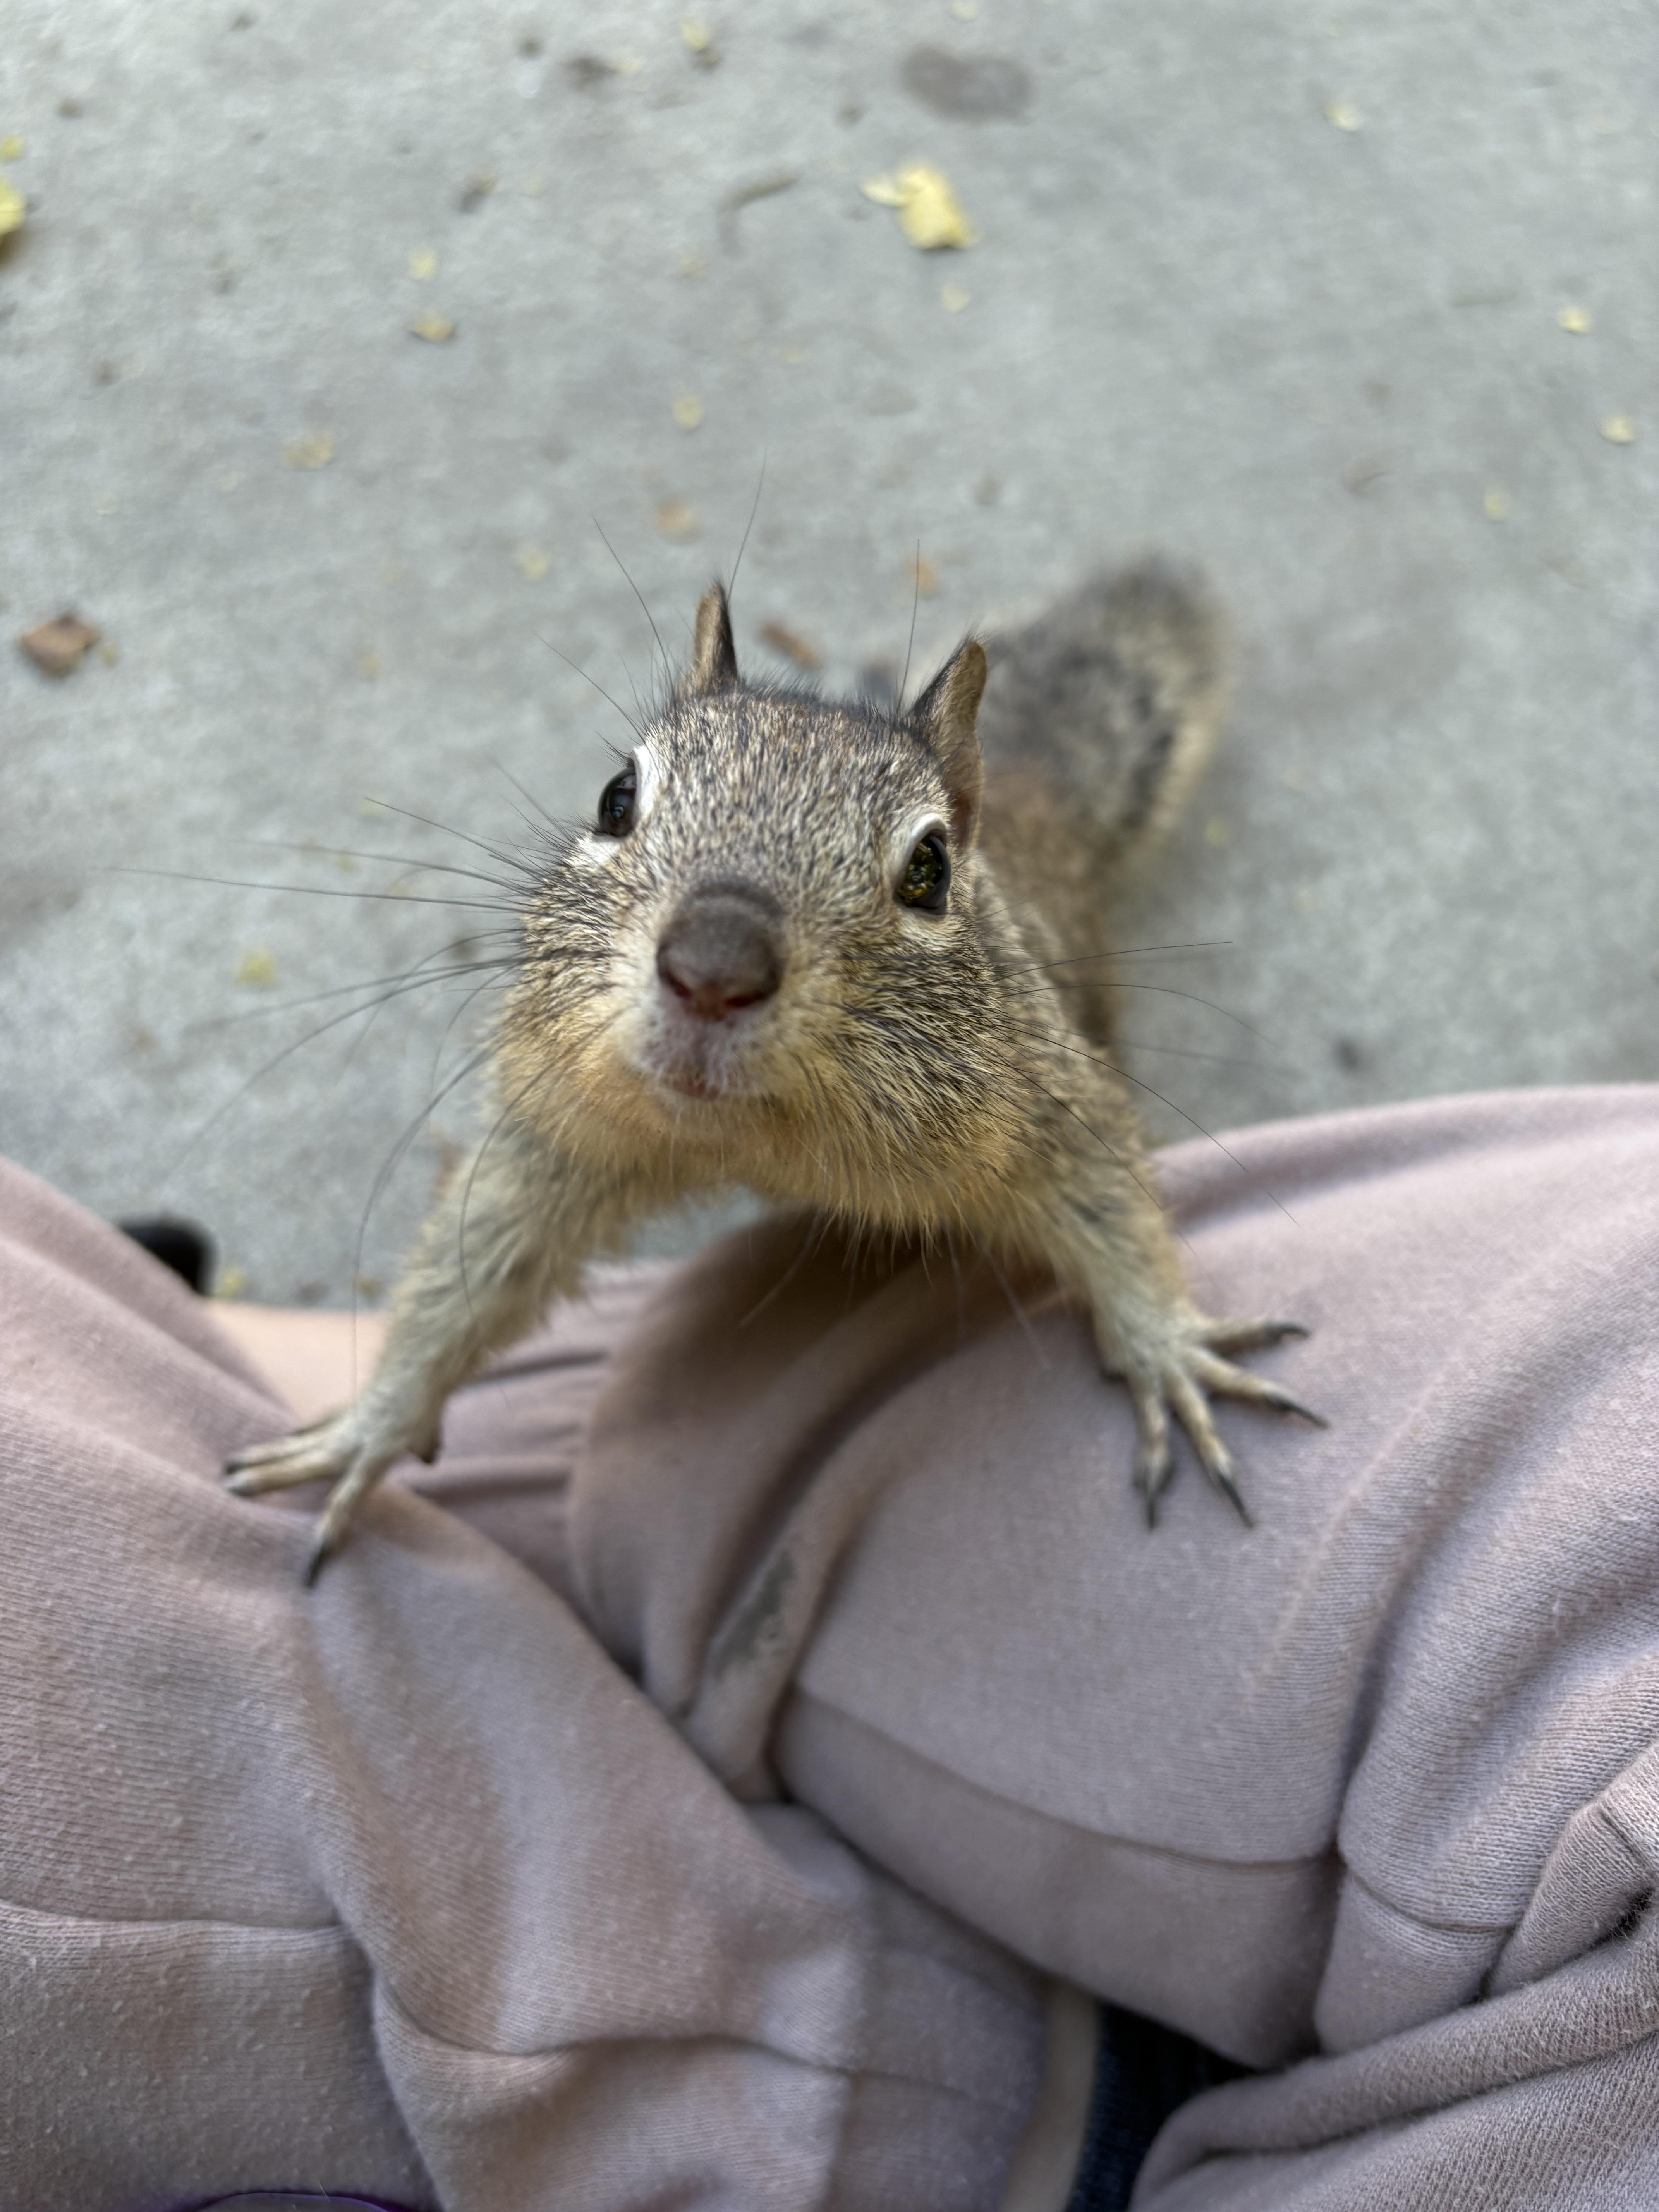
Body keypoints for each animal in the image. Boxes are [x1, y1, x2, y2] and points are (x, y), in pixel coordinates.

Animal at [227, 562, 1318, 1580]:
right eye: (616, 798)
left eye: (930, 870)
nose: (713, 970)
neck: (753, 1139)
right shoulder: (557, 1136)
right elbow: (477, 1269)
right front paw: (368, 1425)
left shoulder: (1048, 1099)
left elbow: (1112, 1208)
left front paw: (1169, 1349)